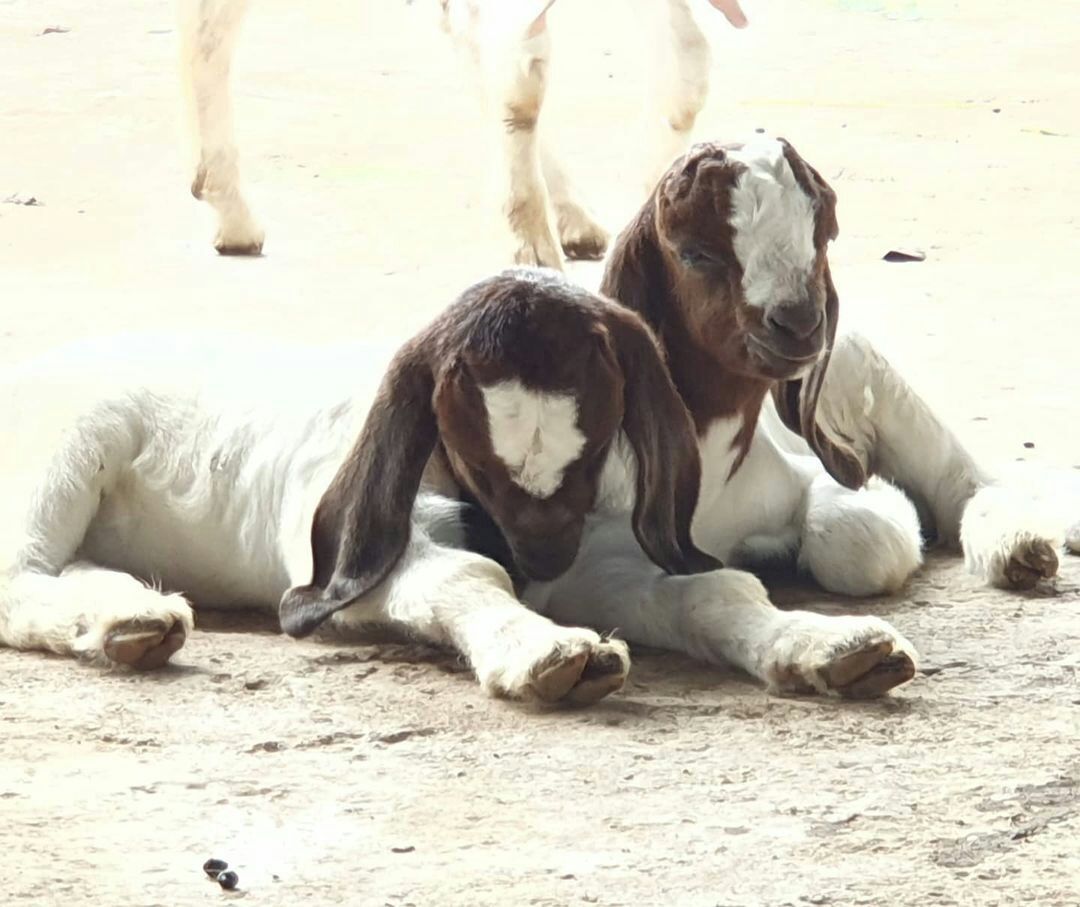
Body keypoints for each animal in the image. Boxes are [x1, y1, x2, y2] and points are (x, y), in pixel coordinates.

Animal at [0, 269, 714, 705]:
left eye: (595, 452)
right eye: (476, 463)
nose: (541, 558)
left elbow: (687, 587)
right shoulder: (349, 565)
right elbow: (465, 575)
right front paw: (544, 649)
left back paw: (130, 617)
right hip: (66, 455)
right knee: (19, 575)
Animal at [514, 135, 1077, 697]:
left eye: (823, 238)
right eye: (694, 253)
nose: (801, 323)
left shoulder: (817, 470)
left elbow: (857, 535)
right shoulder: (587, 565)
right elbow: (702, 593)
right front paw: (832, 650)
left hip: (872, 375)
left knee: (963, 479)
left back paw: (1019, 546)